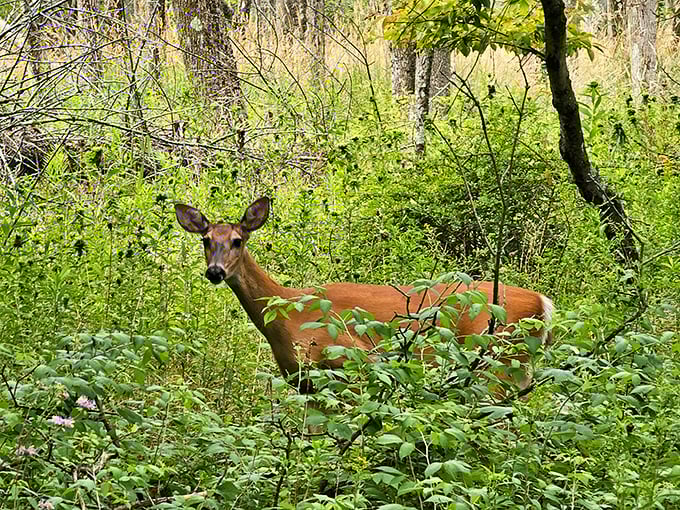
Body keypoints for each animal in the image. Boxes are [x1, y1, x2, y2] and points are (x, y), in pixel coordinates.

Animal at [175, 197, 553, 396]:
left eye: (237, 240)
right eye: (206, 240)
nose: (215, 272)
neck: (288, 316)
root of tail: (542, 304)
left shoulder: (350, 363)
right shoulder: (304, 383)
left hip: (497, 362)